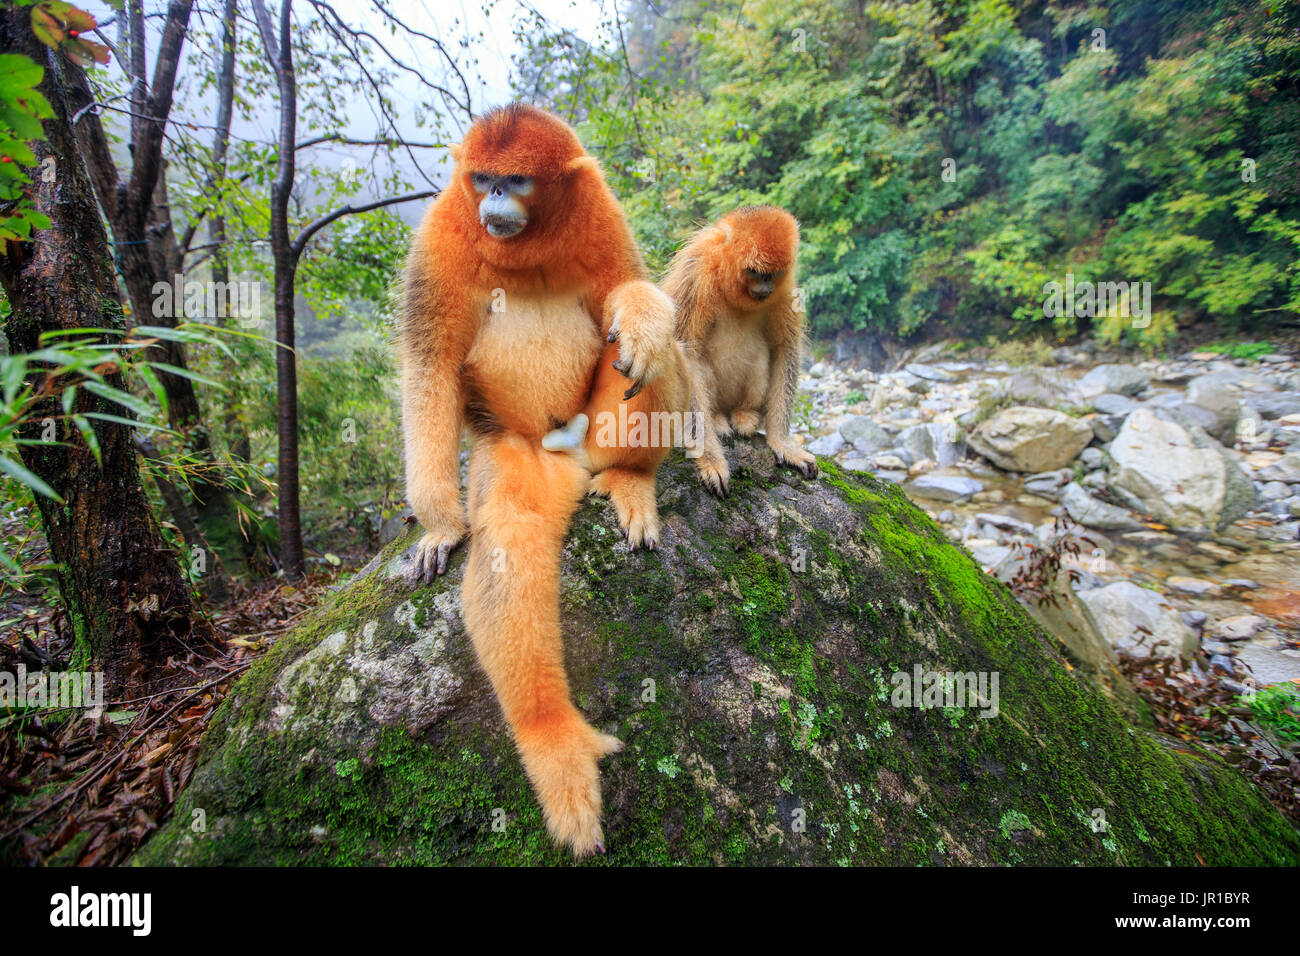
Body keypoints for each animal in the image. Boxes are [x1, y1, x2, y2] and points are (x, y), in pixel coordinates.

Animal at [399, 105, 688, 856]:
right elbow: (430, 367)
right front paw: (439, 524)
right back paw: (551, 736)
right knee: (512, 534)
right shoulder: (440, 236)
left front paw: (640, 317)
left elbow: (625, 291)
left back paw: (630, 475)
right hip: (518, 452)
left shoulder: (599, 210)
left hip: (595, 429)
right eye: (482, 180)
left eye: (518, 180)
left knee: (651, 354)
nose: (495, 200)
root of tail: (566, 449)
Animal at [664, 205, 817, 496]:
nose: (766, 284)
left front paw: (782, 441)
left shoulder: (786, 289)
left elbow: (784, 350)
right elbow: (685, 355)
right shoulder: (696, 272)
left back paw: (745, 415)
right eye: (754, 271)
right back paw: (716, 419)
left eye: (775, 273)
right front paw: (710, 458)